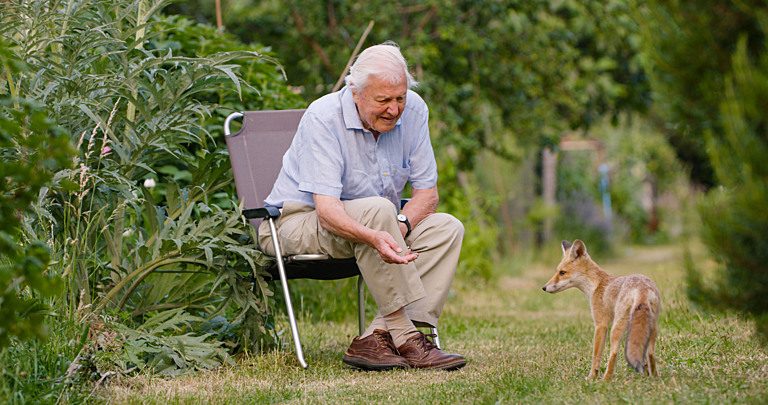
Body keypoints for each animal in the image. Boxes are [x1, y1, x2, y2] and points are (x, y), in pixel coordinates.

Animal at [542, 239, 661, 380]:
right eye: (557, 271)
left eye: (562, 272)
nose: (544, 287)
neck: (596, 285)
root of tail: (642, 288)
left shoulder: (600, 325)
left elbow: (596, 356)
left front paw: (592, 377)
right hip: (651, 328)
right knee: (650, 354)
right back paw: (654, 377)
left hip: (615, 330)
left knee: (614, 354)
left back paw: (606, 379)